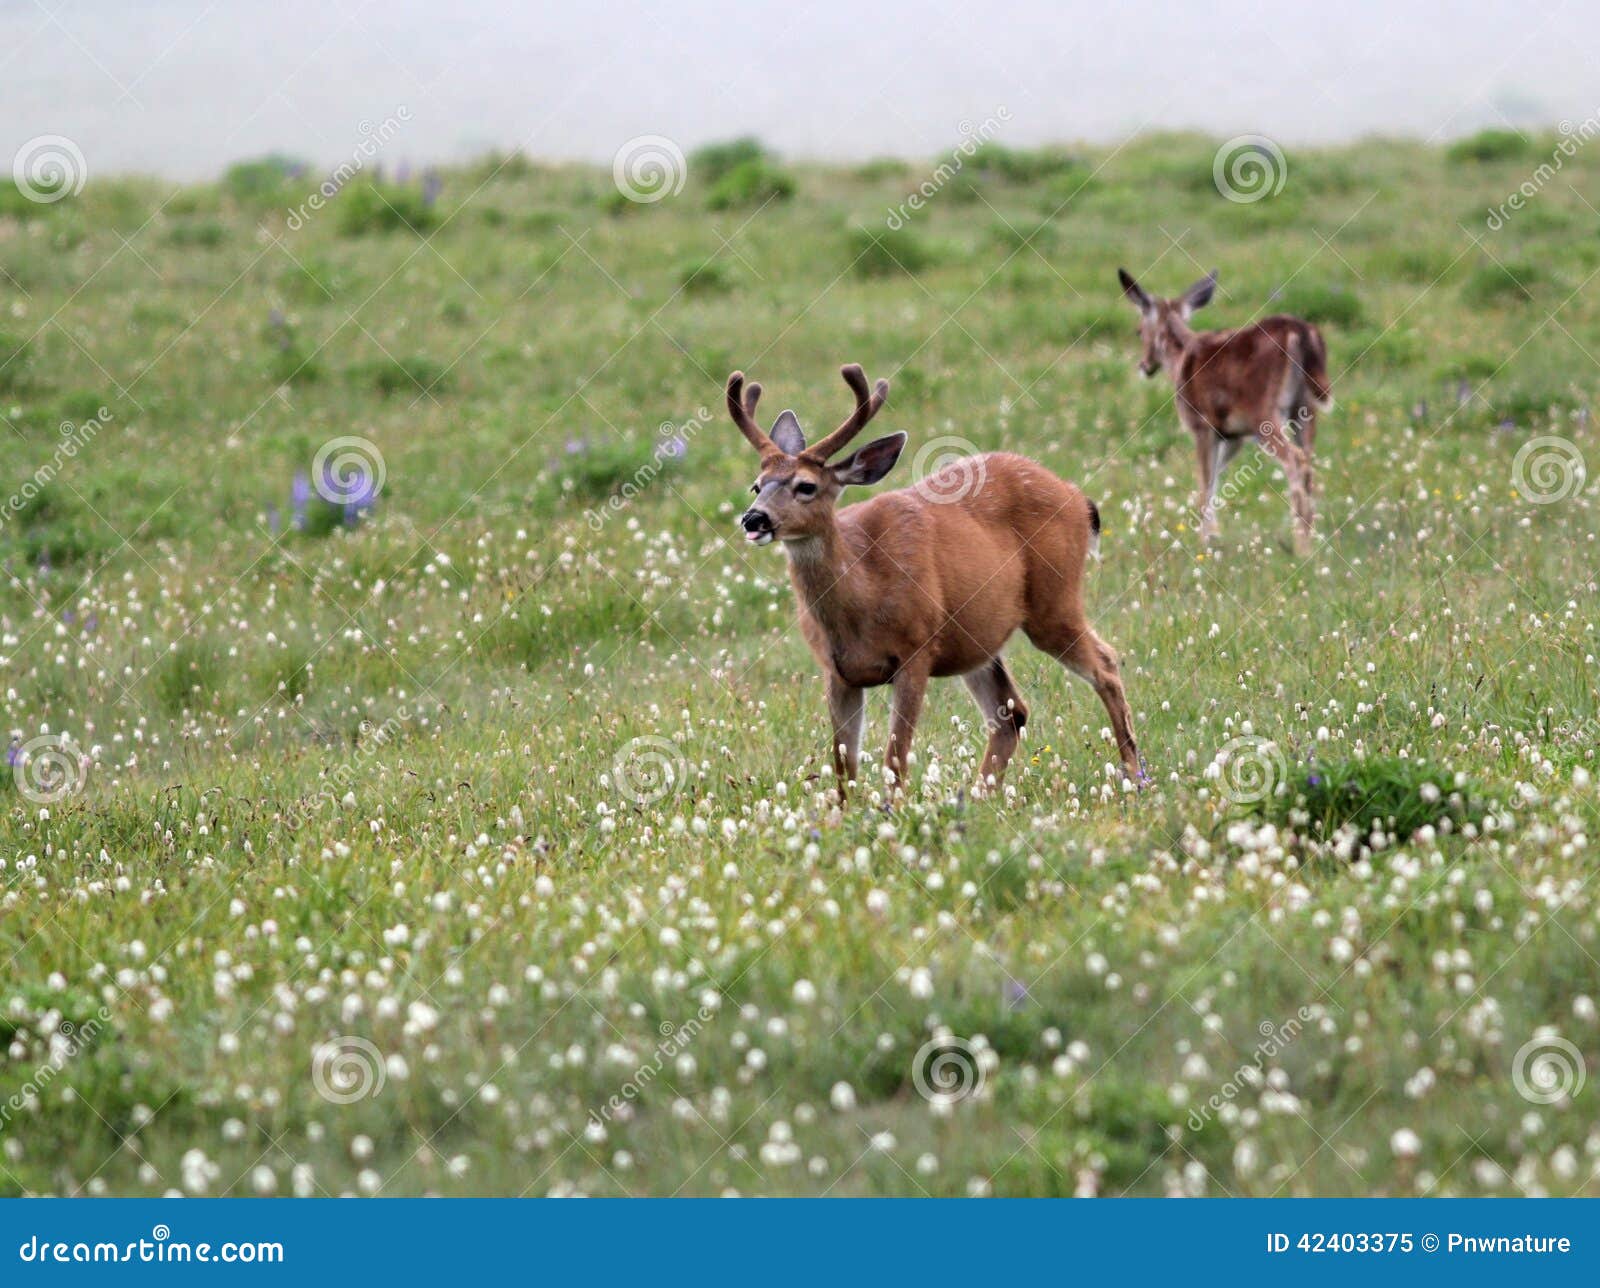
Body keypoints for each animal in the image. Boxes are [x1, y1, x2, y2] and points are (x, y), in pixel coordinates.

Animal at [728, 362, 1143, 799]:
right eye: (757, 486)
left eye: (806, 486)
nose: (754, 518)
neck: (863, 591)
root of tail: (1078, 496)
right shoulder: (837, 671)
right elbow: (844, 768)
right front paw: (848, 814)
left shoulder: (917, 648)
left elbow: (895, 757)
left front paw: (891, 810)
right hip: (978, 637)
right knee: (1012, 713)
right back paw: (980, 796)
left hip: (1054, 601)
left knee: (1105, 664)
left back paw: (1134, 773)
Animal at [1117, 268, 1332, 555]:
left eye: (1139, 331)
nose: (1144, 366)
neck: (1179, 358)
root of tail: (1300, 331)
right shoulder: (1232, 435)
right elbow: (1216, 480)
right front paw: (1213, 537)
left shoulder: (1201, 426)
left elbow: (1204, 483)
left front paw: (1204, 542)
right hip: (1305, 408)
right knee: (1308, 459)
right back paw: (1311, 537)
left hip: (1264, 413)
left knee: (1295, 459)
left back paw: (1301, 545)